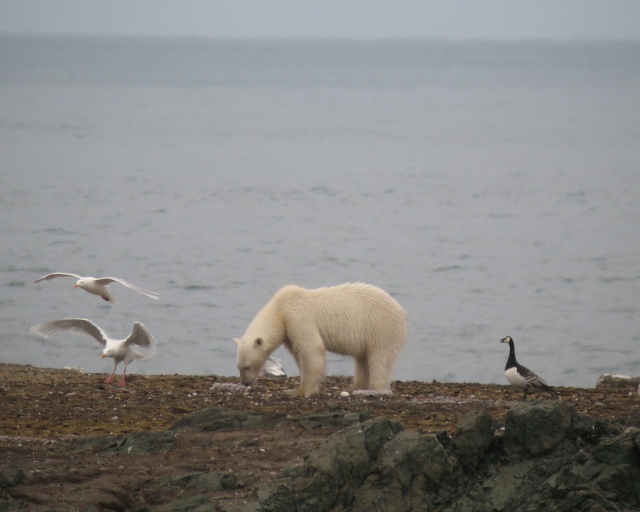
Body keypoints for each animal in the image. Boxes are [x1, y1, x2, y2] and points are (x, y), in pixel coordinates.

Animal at [234, 282, 408, 397]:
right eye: (238, 367)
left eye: (247, 366)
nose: (245, 383)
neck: (280, 309)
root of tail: (401, 310)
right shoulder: (289, 330)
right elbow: (298, 354)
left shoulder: (298, 318)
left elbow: (310, 349)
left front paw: (299, 391)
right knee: (362, 358)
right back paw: (354, 387)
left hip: (381, 327)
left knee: (380, 358)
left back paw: (376, 389)